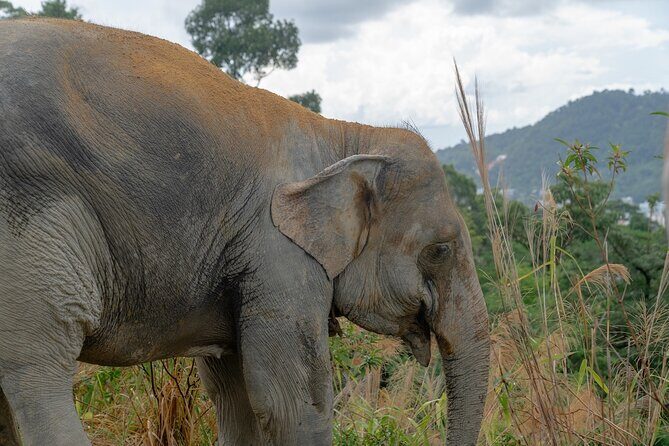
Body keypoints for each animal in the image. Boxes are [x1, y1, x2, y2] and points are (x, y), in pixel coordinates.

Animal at [0, 18, 490, 446]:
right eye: (440, 250)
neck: (341, 135)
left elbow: (234, 394)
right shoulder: (277, 251)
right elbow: (290, 404)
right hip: (31, 222)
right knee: (39, 366)